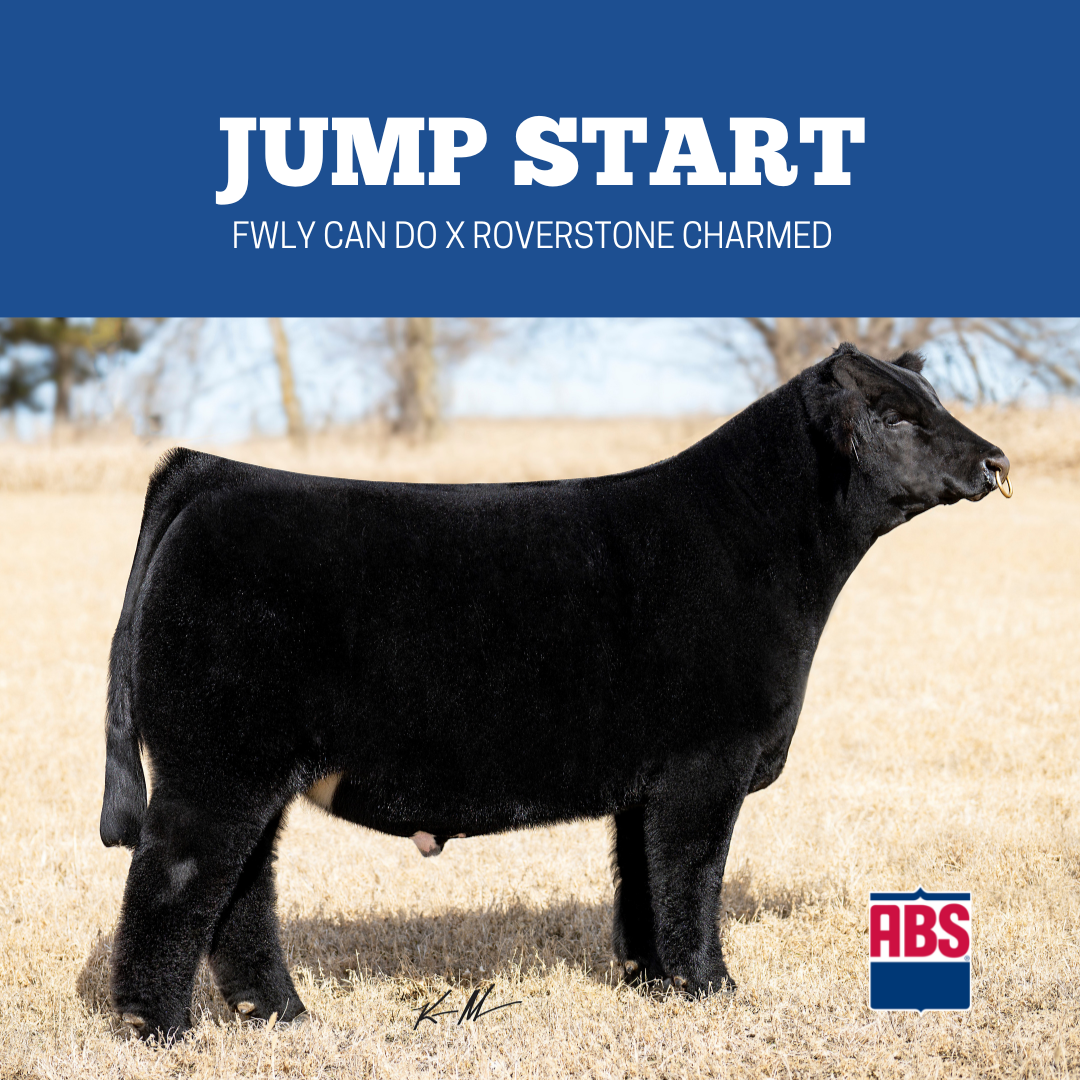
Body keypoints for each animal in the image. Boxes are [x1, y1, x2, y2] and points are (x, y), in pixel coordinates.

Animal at [99, 343, 1010, 1039]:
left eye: (935, 399)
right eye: (893, 415)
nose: (994, 459)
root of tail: (211, 472)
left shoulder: (650, 785)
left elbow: (643, 886)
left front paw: (653, 982)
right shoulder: (708, 767)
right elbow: (693, 881)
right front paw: (713, 987)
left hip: (254, 776)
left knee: (242, 896)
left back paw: (281, 1014)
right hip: (215, 770)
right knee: (171, 885)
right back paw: (162, 1030)